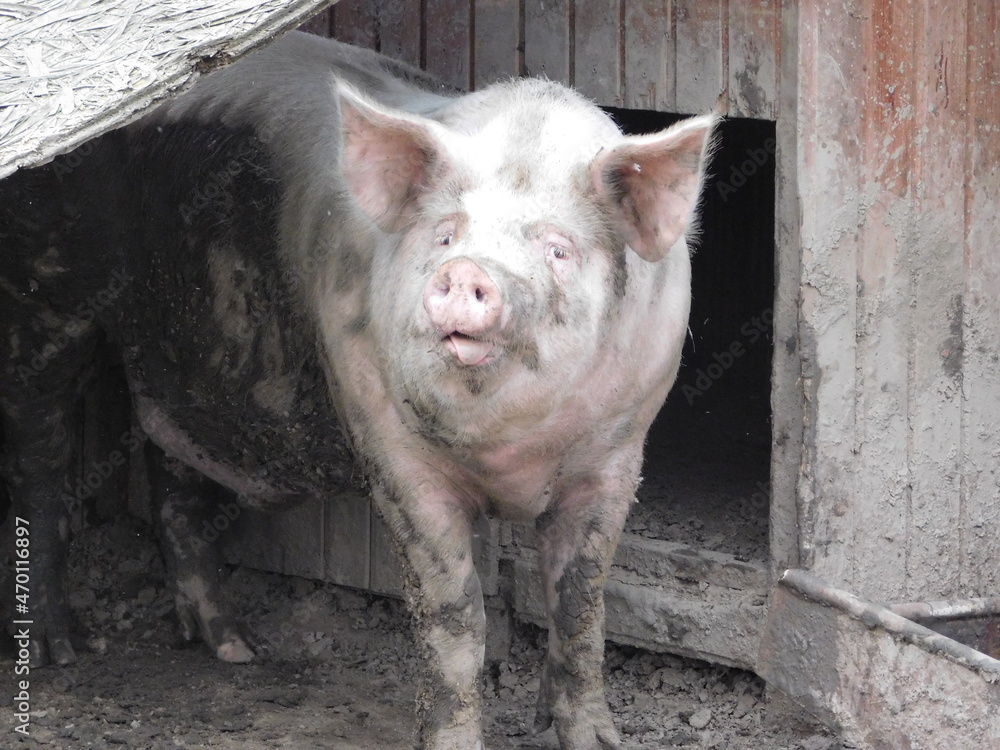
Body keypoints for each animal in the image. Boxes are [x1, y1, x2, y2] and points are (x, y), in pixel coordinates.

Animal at [0, 31, 715, 750]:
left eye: (559, 249)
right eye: (445, 234)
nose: (465, 271)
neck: (509, 454)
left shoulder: (618, 451)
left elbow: (581, 601)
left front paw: (597, 738)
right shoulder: (388, 443)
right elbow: (454, 613)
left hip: (181, 348)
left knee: (172, 472)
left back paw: (234, 648)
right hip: (45, 303)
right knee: (42, 466)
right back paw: (63, 652)